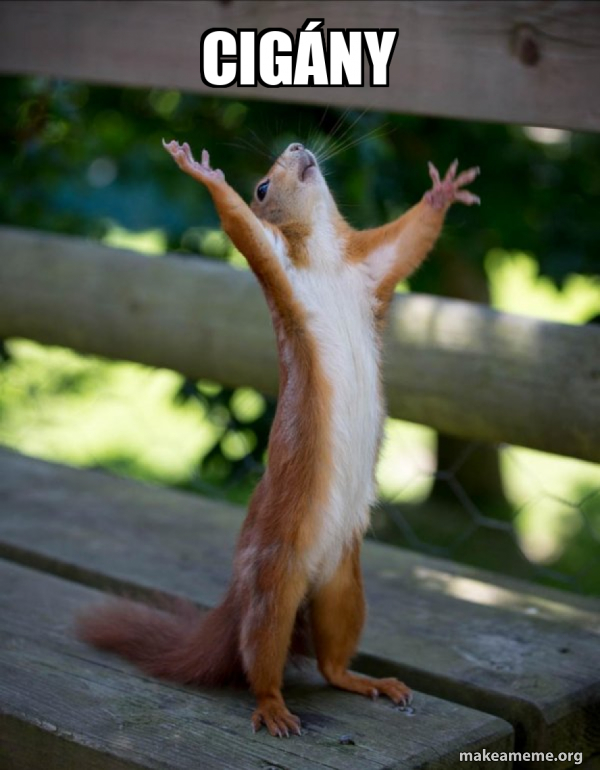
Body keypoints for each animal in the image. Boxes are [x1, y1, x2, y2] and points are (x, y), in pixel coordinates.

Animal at [77, 138, 480, 738]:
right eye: (262, 187)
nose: (296, 147)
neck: (327, 257)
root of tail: (239, 595)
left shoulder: (372, 267)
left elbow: (409, 240)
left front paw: (443, 192)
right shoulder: (277, 266)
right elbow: (240, 226)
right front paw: (204, 174)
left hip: (344, 586)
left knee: (332, 661)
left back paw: (368, 681)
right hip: (273, 584)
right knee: (260, 658)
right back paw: (273, 708)